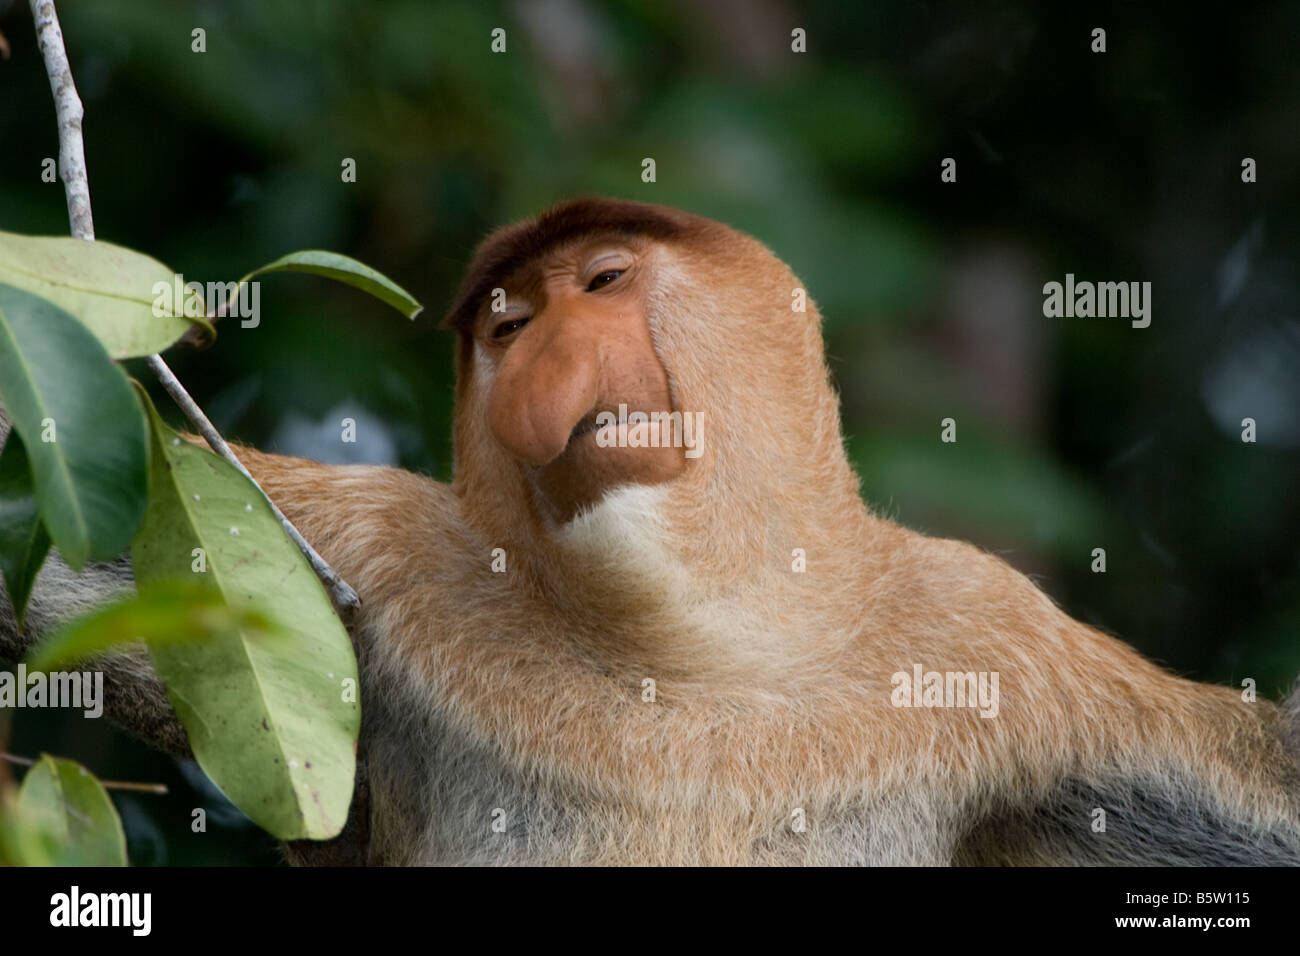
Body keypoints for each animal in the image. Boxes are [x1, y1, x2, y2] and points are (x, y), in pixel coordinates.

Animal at [2, 197, 1299, 865]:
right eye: (507, 325)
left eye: (605, 282)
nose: (539, 354)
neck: (693, 649)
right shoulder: (377, 546)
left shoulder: (997, 643)